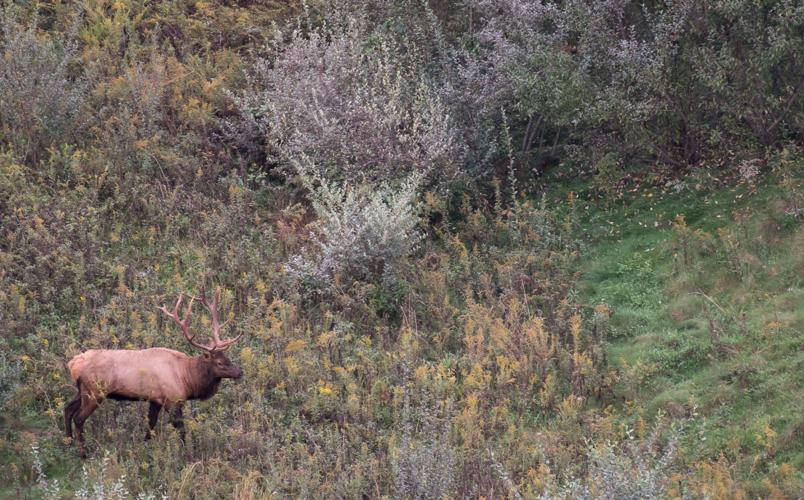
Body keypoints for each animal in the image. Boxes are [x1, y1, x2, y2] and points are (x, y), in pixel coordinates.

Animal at [64, 288, 244, 457]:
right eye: (219, 363)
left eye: (227, 357)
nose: (240, 371)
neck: (187, 378)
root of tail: (73, 364)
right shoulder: (173, 400)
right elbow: (181, 431)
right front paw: (186, 455)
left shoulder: (155, 400)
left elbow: (150, 428)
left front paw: (145, 452)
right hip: (95, 392)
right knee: (78, 418)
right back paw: (83, 453)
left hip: (82, 391)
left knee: (67, 408)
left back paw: (68, 444)